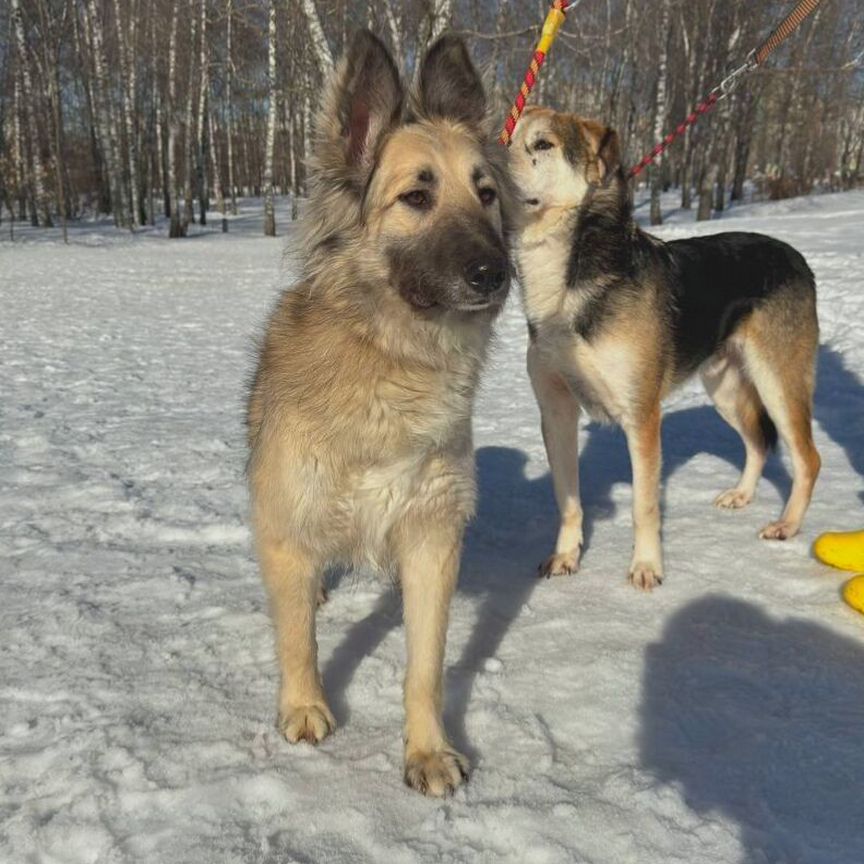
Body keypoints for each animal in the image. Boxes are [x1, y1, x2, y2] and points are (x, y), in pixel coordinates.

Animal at [246, 33, 510, 796]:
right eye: (416, 196)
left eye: (487, 194)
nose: (497, 274)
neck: (393, 362)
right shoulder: (292, 522)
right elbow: (297, 636)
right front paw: (305, 707)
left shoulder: (431, 534)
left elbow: (426, 666)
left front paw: (428, 751)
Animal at [510, 106, 820, 588]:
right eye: (504, 138)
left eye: (543, 144)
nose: (482, 166)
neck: (565, 281)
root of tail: (797, 257)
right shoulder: (556, 411)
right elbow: (568, 499)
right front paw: (565, 557)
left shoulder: (641, 416)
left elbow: (644, 504)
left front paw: (646, 567)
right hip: (725, 389)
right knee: (758, 444)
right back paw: (742, 495)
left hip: (778, 383)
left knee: (808, 458)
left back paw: (786, 524)